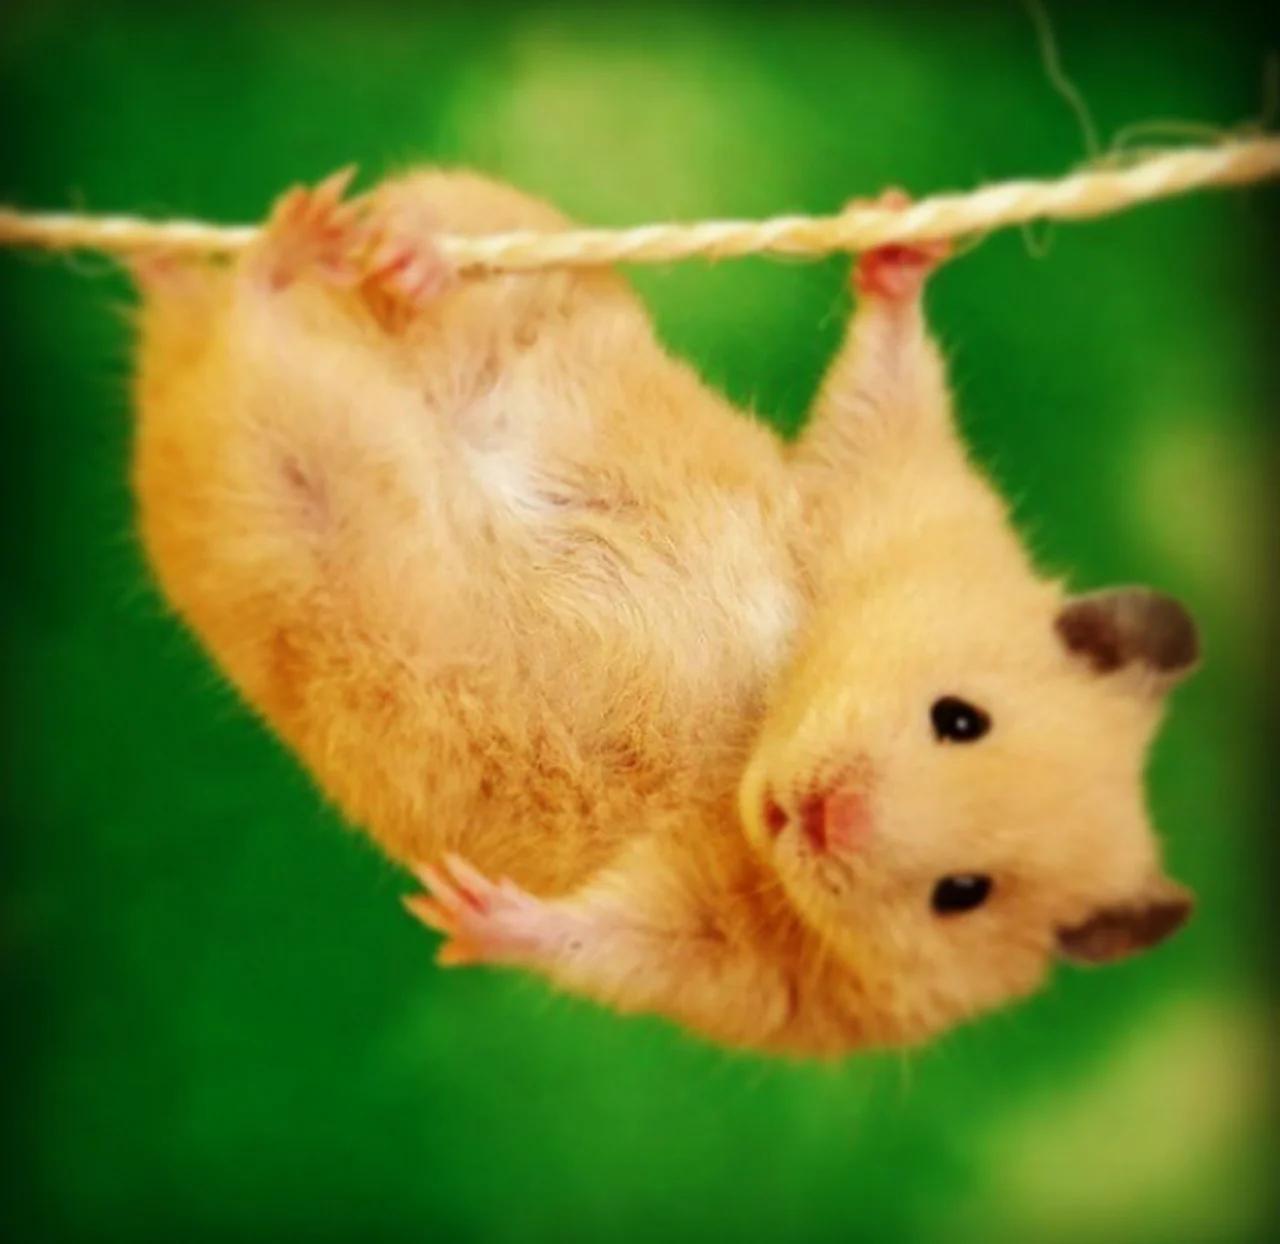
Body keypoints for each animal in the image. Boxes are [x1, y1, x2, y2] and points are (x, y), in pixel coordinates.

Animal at [129, 170, 1198, 1057]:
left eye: (962, 895)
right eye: (960, 717)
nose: (822, 815)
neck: (756, 739)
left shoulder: (741, 968)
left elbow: (609, 941)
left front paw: (462, 910)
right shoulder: (887, 496)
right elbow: (883, 391)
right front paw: (897, 232)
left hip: (266, 491)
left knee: (243, 347)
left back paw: (272, 261)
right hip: (525, 262)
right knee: (434, 232)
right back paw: (370, 245)